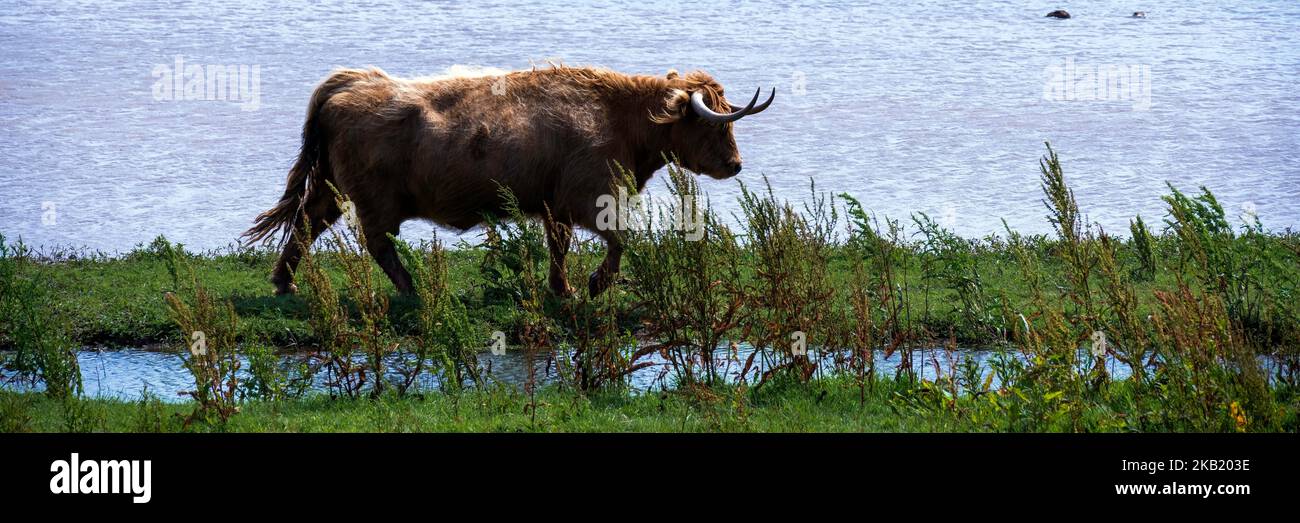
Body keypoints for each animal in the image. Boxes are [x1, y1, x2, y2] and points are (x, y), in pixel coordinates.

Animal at [242, 64, 773, 297]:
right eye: (716, 124)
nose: (735, 165)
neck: (620, 119)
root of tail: (350, 82)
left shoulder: (557, 204)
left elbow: (560, 245)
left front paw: (562, 288)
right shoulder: (590, 196)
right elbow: (621, 239)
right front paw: (594, 284)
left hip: (331, 188)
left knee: (307, 223)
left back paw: (285, 282)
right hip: (374, 199)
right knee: (375, 241)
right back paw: (412, 289)